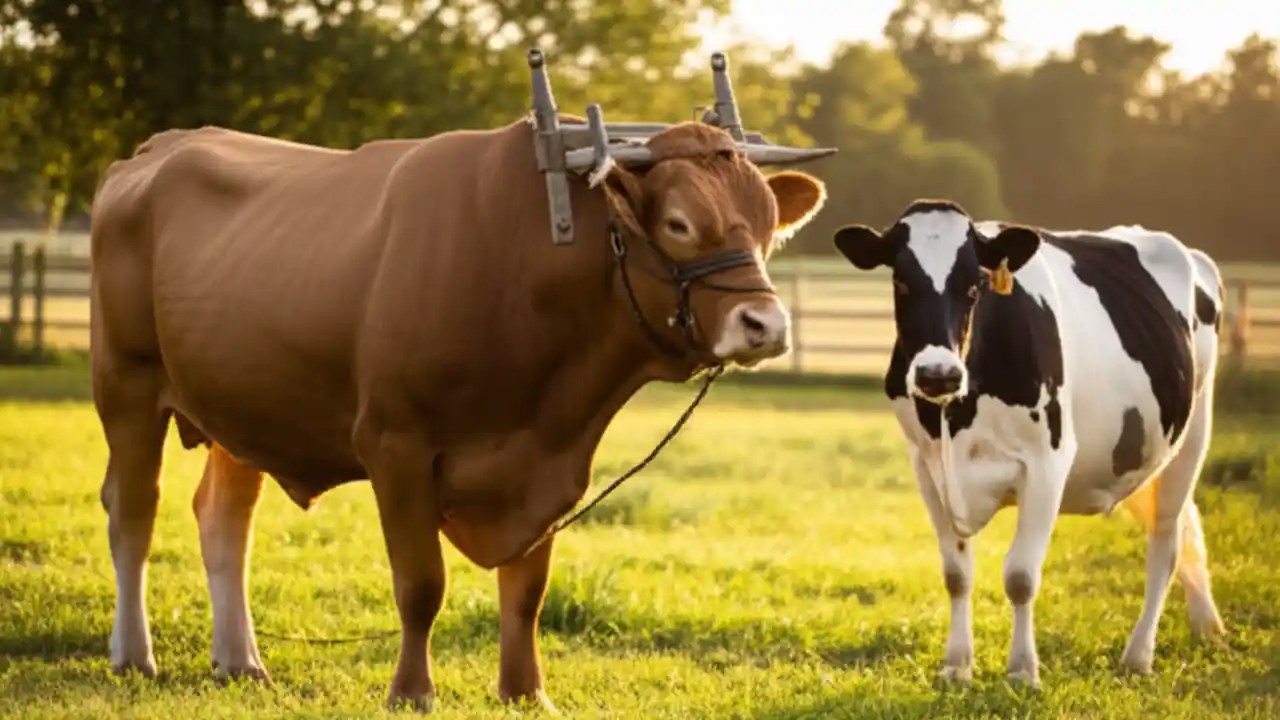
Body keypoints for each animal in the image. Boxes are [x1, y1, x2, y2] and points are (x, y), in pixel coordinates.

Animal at [89, 119, 827, 711]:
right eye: (678, 224)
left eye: (770, 227)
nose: (765, 325)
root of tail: (161, 147)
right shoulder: (396, 447)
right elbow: (421, 585)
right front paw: (411, 692)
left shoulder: (550, 466)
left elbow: (527, 591)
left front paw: (526, 692)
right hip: (125, 385)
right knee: (133, 514)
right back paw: (134, 654)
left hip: (243, 409)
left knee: (224, 521)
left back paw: (240, 661)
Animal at [831, 200, 1226, 686]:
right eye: (900, 281)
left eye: (975, 285)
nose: (937, 374)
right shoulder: (926, 466)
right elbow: (956, 573)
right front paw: (956, 665)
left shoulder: (1047, 463)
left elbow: (1020, 576)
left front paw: (1022, 670)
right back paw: (1205, 627)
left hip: (1191, 436)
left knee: (1166, 543)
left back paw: (1138, 655)